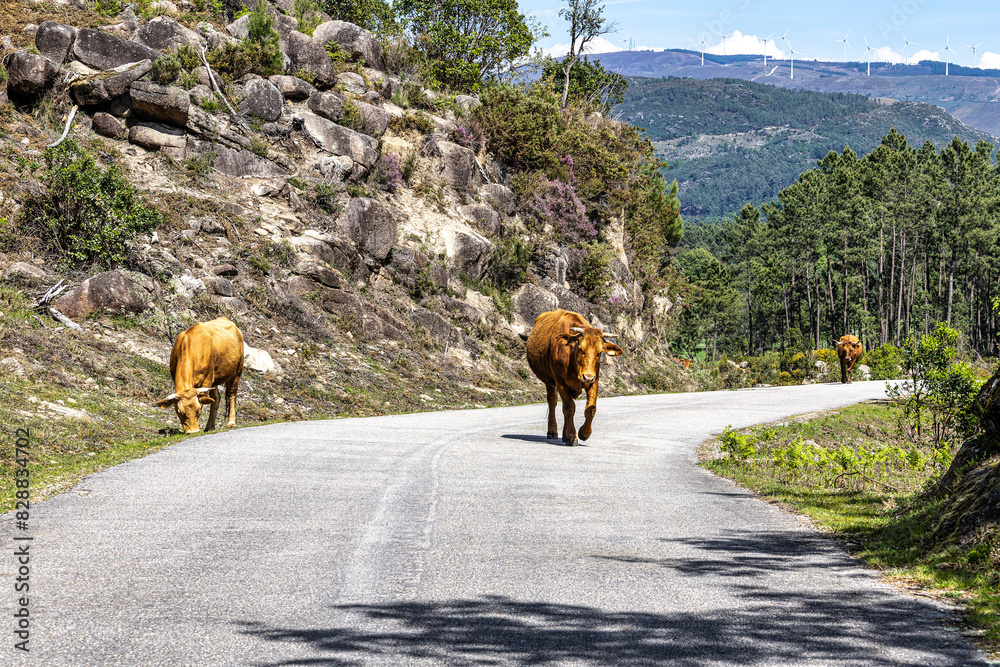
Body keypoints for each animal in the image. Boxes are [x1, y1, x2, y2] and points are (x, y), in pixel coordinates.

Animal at [526, 309, 623, 446]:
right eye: (581, 349)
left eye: (599, 353)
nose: (587, 377)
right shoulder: (561, 381)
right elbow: (569, 407)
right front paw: (572, 436)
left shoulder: (594, 381)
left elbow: (591, 409)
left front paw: (584, 433)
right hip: (549, 381)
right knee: (553, 402)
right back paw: (553, 431)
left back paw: (564, 435)